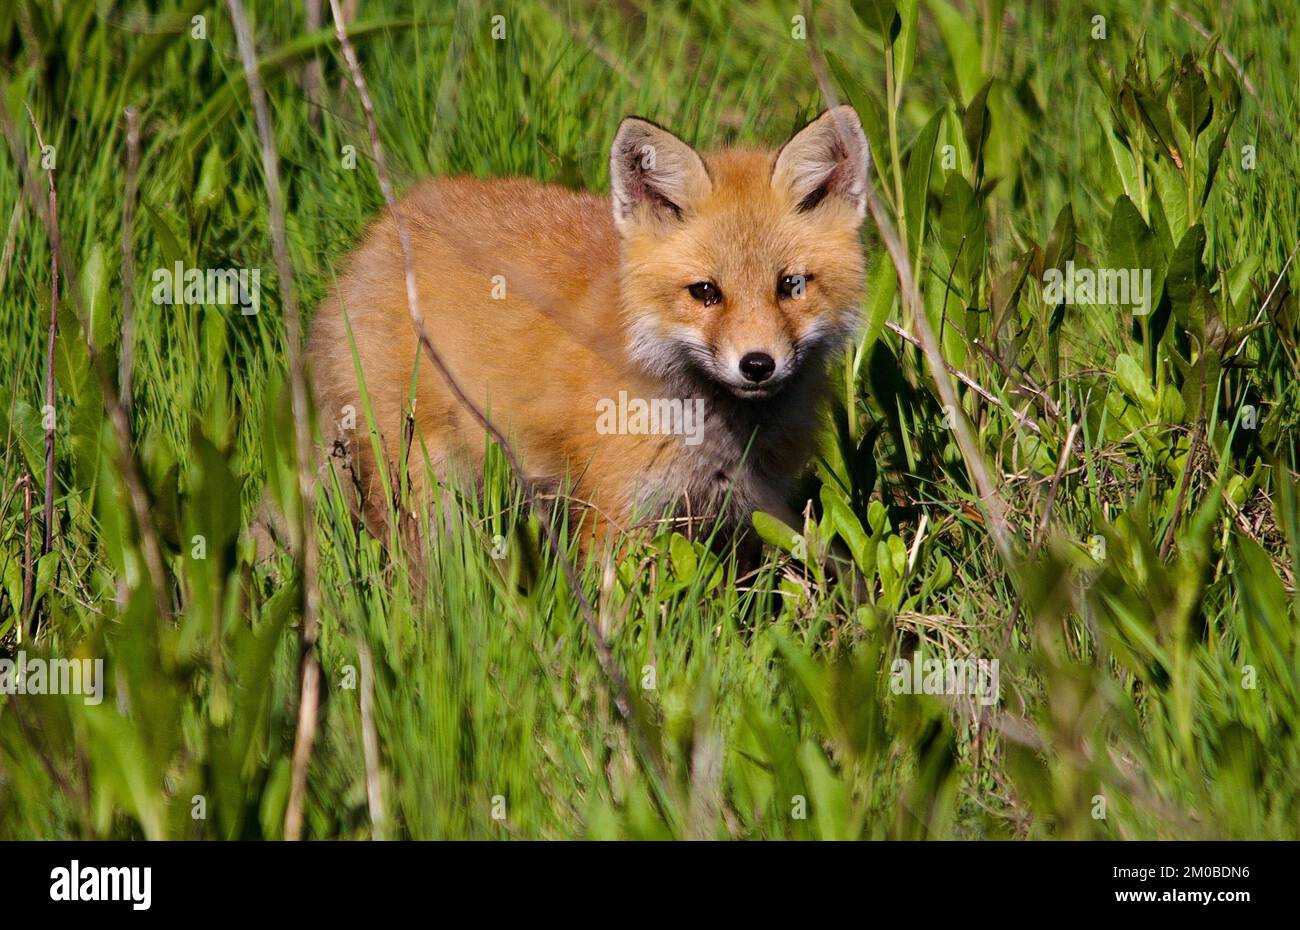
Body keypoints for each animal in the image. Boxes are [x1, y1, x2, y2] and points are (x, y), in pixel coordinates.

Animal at [307, 106, 870, 559]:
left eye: (791, 286)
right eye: (705, 292)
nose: (757, 365)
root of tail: (387, 223)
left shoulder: (751, 516)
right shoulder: (618, 516)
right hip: (425, 482)